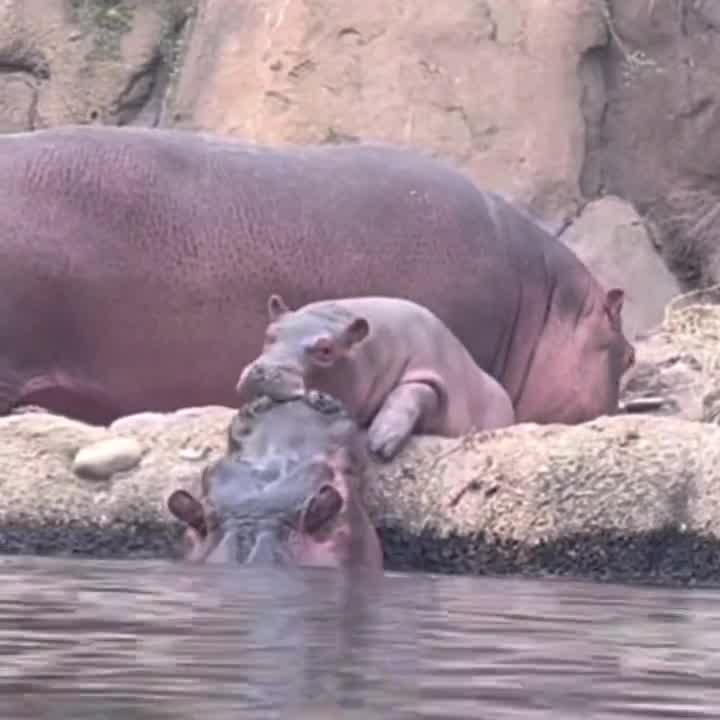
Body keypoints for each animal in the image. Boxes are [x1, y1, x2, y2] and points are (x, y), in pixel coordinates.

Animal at [236, 294, 515, 460]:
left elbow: (412, 391)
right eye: (270, 333)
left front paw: (380, 442)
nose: (263, 371)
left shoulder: (433, 369)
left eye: (326, 350)